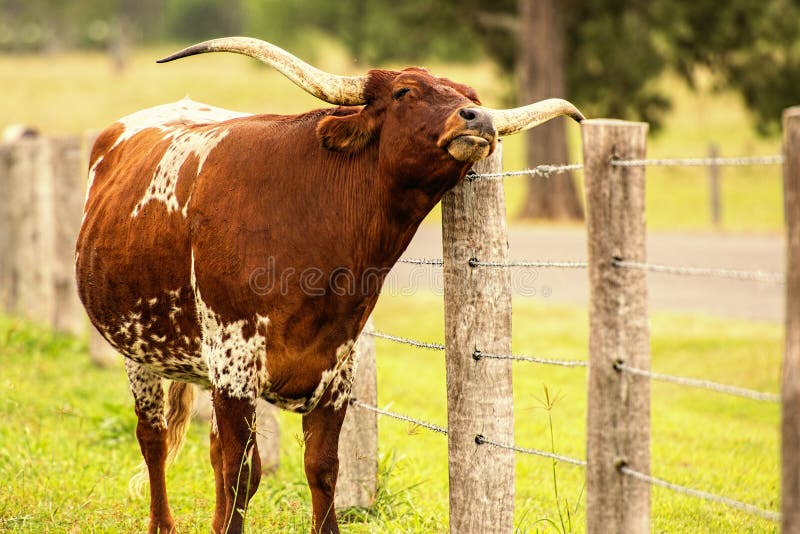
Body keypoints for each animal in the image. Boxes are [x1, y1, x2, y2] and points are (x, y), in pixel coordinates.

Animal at [75, 36, 584, 533]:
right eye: (405, 91)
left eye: (473, 98)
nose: (479, 118)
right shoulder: (234, 364)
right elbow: (242, 472)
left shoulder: (336, 371)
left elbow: (320, 468)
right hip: (140, 353)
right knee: (154, 438)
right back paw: (162, 523)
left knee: (214, 451)